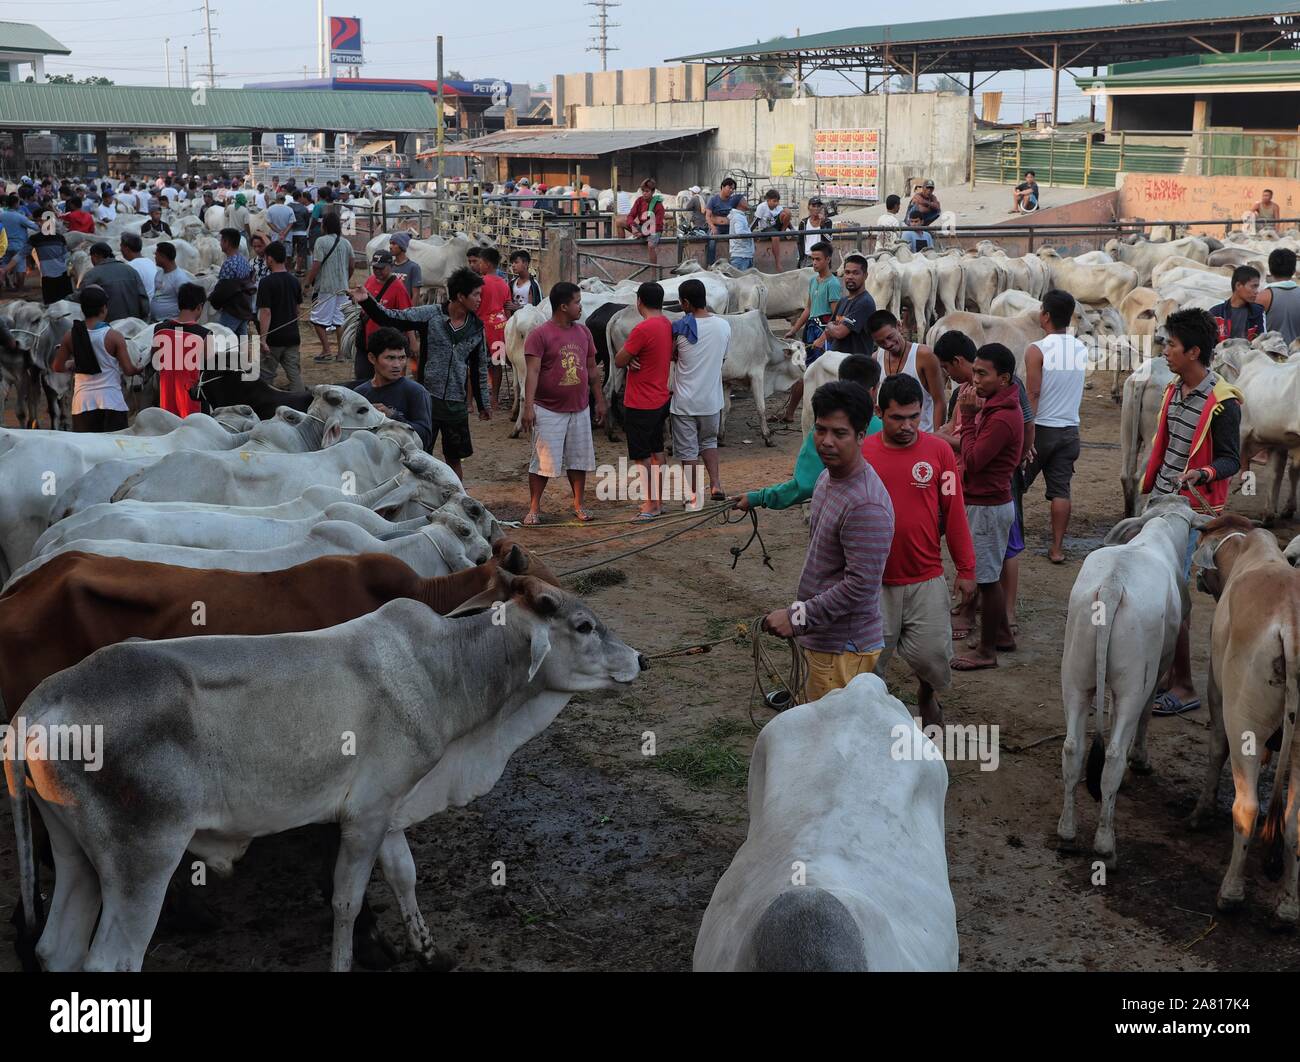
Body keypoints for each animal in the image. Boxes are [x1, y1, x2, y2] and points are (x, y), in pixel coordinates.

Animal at [1055, 493, 1206, 868]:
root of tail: (1112, 586)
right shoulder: (1157, 668)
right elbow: (1147, 716)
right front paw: (1142, 759)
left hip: (1074, 676)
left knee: (1073, 747)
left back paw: (1067, 833)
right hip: (1133, 684)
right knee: (1112, 756)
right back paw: (1105, 845)